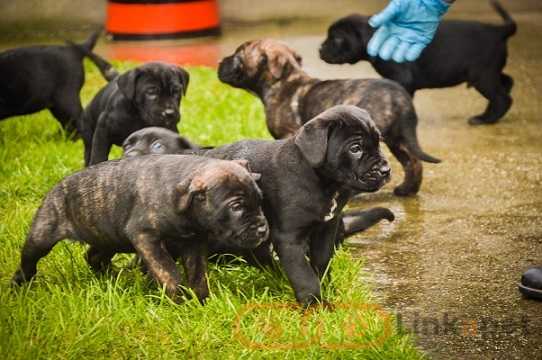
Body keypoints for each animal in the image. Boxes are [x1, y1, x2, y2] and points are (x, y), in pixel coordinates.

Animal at [10, 155, 270, 304]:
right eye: (236, 207)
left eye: (260, 200)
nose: (262, 229)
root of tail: (56, 187)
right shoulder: (146, 237)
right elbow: (168, 271)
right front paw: (180, 301)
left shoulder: (193, 243)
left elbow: (197, 274)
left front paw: (202, 301)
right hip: (43, 234)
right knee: (29, 260)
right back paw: (19, 284)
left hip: (109, 238)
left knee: (94, 256)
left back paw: (111, 277)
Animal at [218, 39, 442, 197]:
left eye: (238, 56)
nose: (219, 62)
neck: (283, 80)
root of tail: (399, 96)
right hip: (396, 138)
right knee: (413, 162)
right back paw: (407, 190)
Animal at [324, 0, 520, 125]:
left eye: (337, 38)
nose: (320, 49)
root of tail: (499, 31)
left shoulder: (402, 79)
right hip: (489, 72)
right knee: (507, 82)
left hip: (482, 76)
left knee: (502, 97)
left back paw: (484, 119)